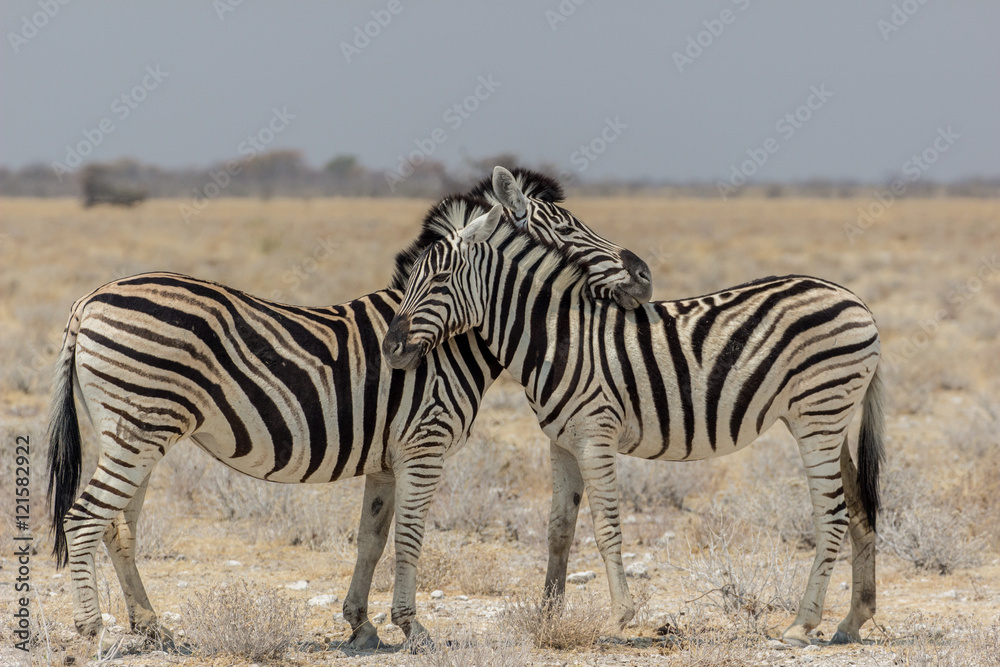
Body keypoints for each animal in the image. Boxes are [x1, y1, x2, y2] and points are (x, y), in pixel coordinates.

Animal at [45, 167, 653, 648]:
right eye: (569, 227)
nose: (644, 276)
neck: (447, 335)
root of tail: (86, 301)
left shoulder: (385, 459)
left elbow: (371, 540)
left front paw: (361, 625)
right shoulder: (423, 446)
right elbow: (410, 537)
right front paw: (412, 627)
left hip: (130, 433)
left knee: (117, 528)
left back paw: (151, 628)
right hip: (139, 429)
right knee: (84, 518)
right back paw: (91, 631)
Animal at [383, 209, 885, 646]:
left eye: (440, 281)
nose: (390, 349)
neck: (557, 337)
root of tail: (857, 300)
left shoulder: (595, 435)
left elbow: (606, 526)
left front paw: (618, 618)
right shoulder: (561, 442)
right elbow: (558, 528)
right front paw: (547, 617)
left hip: (817, 416)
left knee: (832, 516)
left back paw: (802, 624)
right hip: (832, 421)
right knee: (860, 508)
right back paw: (852, 621)